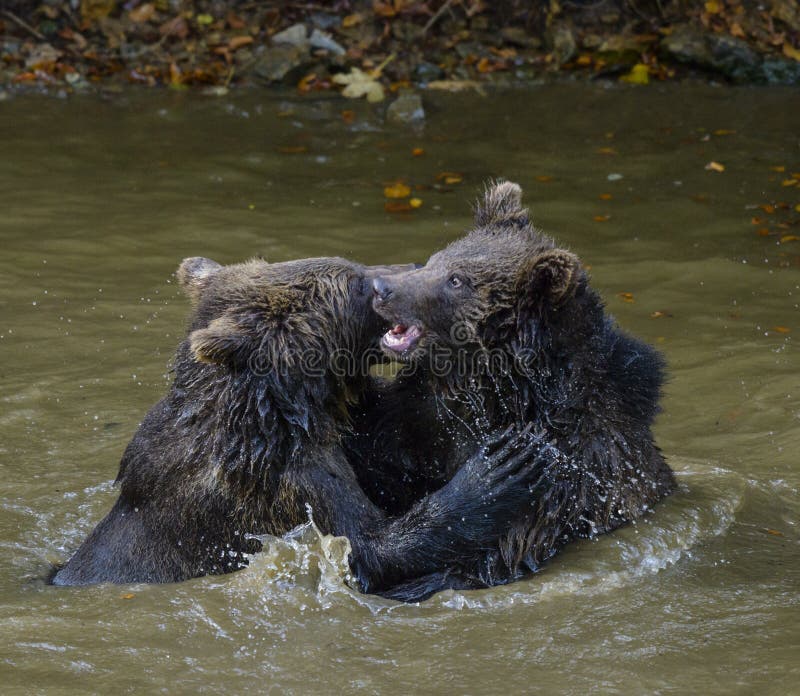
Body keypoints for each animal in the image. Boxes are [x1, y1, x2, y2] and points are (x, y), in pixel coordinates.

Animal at [52, 254, 546, 597]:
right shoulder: (284, 486)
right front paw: (499, 471)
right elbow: (368, 547)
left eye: (356, 265)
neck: (284, 413)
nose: (408, 268)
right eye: (358, 283)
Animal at [352, 181, 676, 600]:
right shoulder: (420, 422)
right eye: (434, 259)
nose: (381, 288)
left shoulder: (564, 474)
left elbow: (490, 557)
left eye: (456, 279)